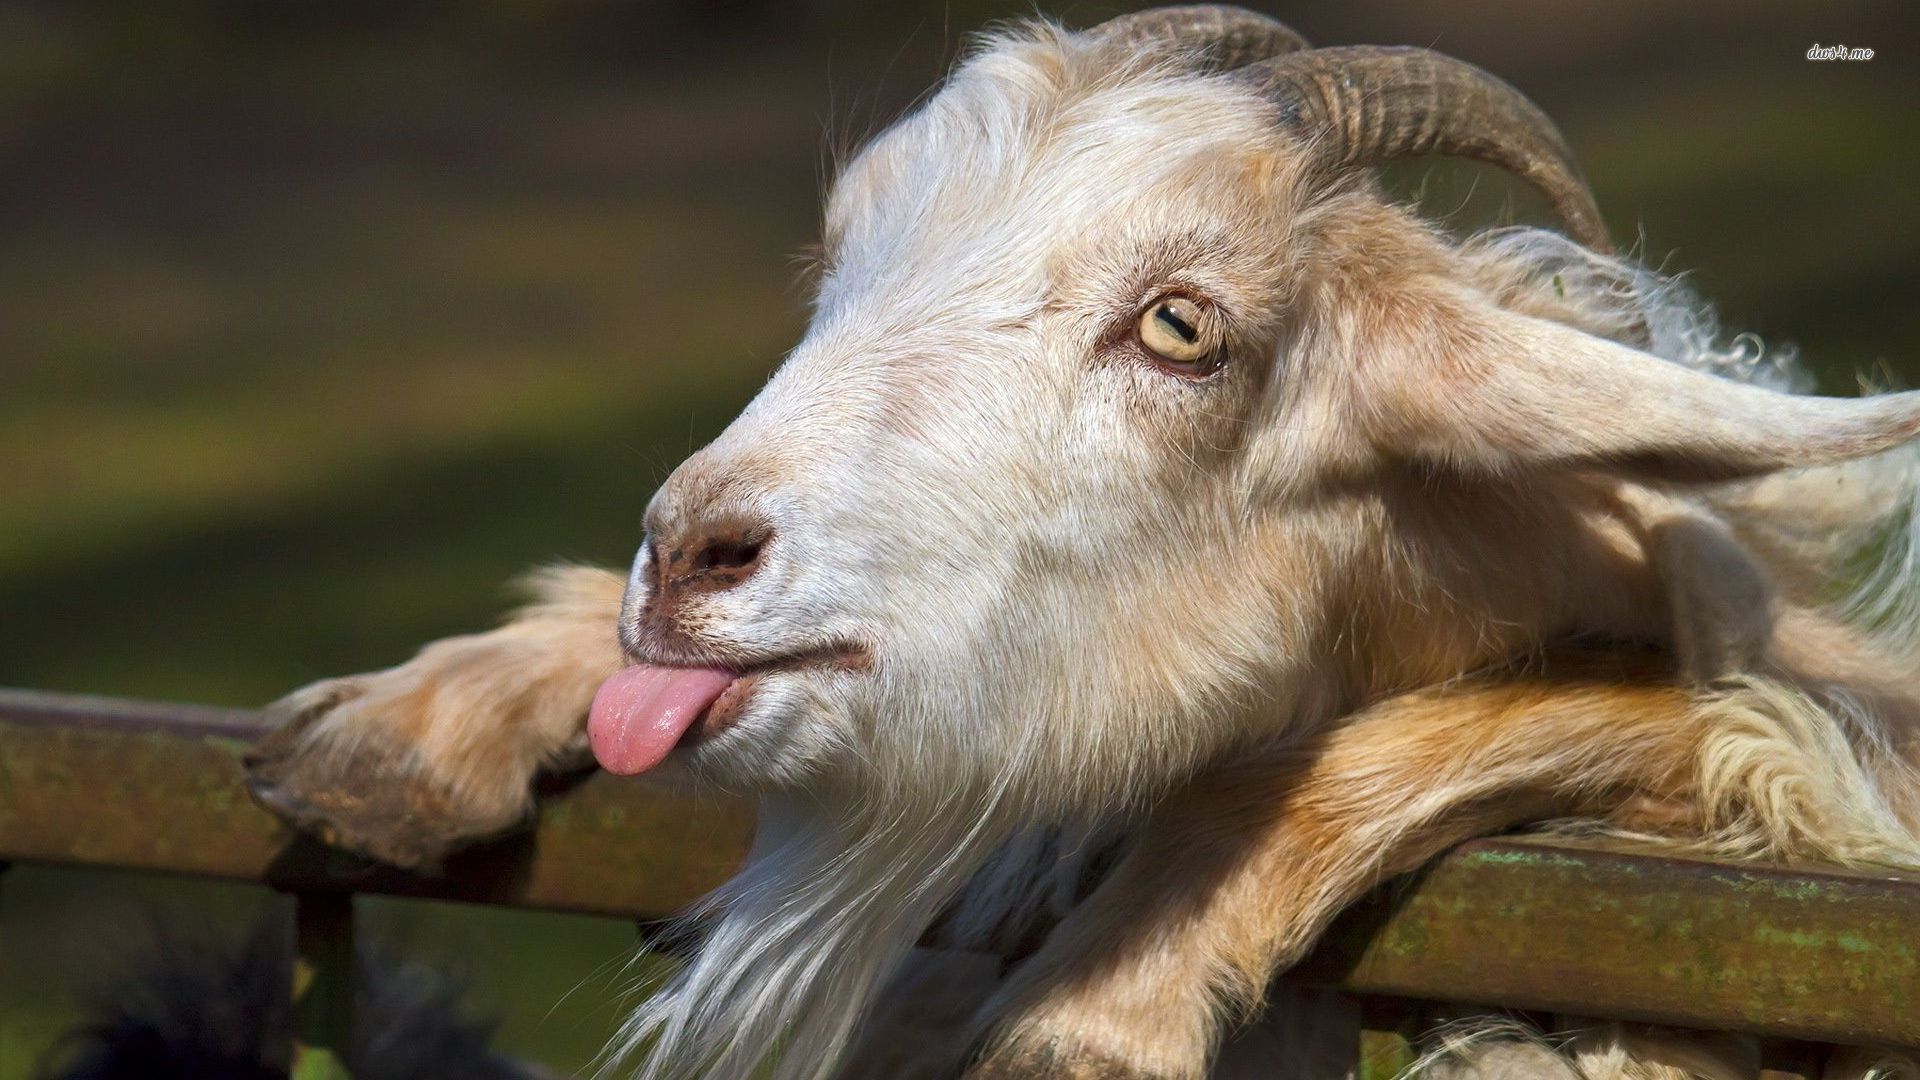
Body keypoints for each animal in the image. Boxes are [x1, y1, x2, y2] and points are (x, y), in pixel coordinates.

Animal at [247, 7, 1920, 1078]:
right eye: (841, 263)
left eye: (1181, 326)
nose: (689, 554)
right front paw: (397, 730)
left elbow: (1666, 708)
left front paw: (1100, 1006)